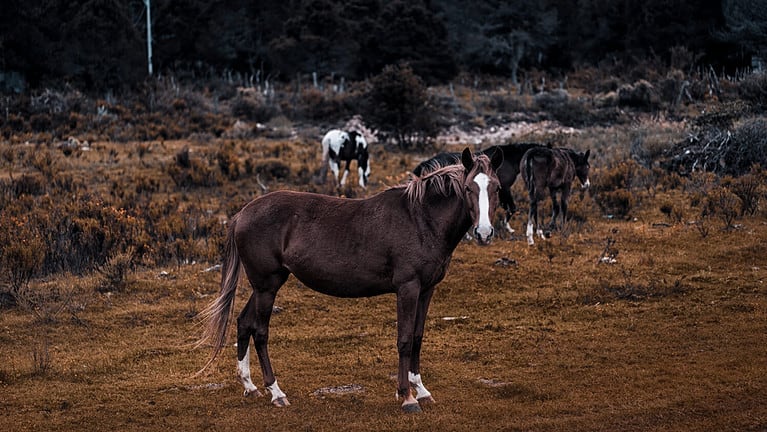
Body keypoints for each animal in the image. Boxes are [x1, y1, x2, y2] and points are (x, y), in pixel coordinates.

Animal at [197, 148, 503, 413]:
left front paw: (422, 390)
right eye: (469, 188)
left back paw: (250, 386)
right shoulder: (408, 288)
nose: (484, 233)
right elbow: (404, 339)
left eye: (496, 188)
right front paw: (407, 397)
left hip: (267, 285)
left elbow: (417, 337)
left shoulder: (426, 290)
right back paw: (276, 392)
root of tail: (242, 214)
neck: (421, 220)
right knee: (260, 332)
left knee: (244, 323)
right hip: (266, 287)